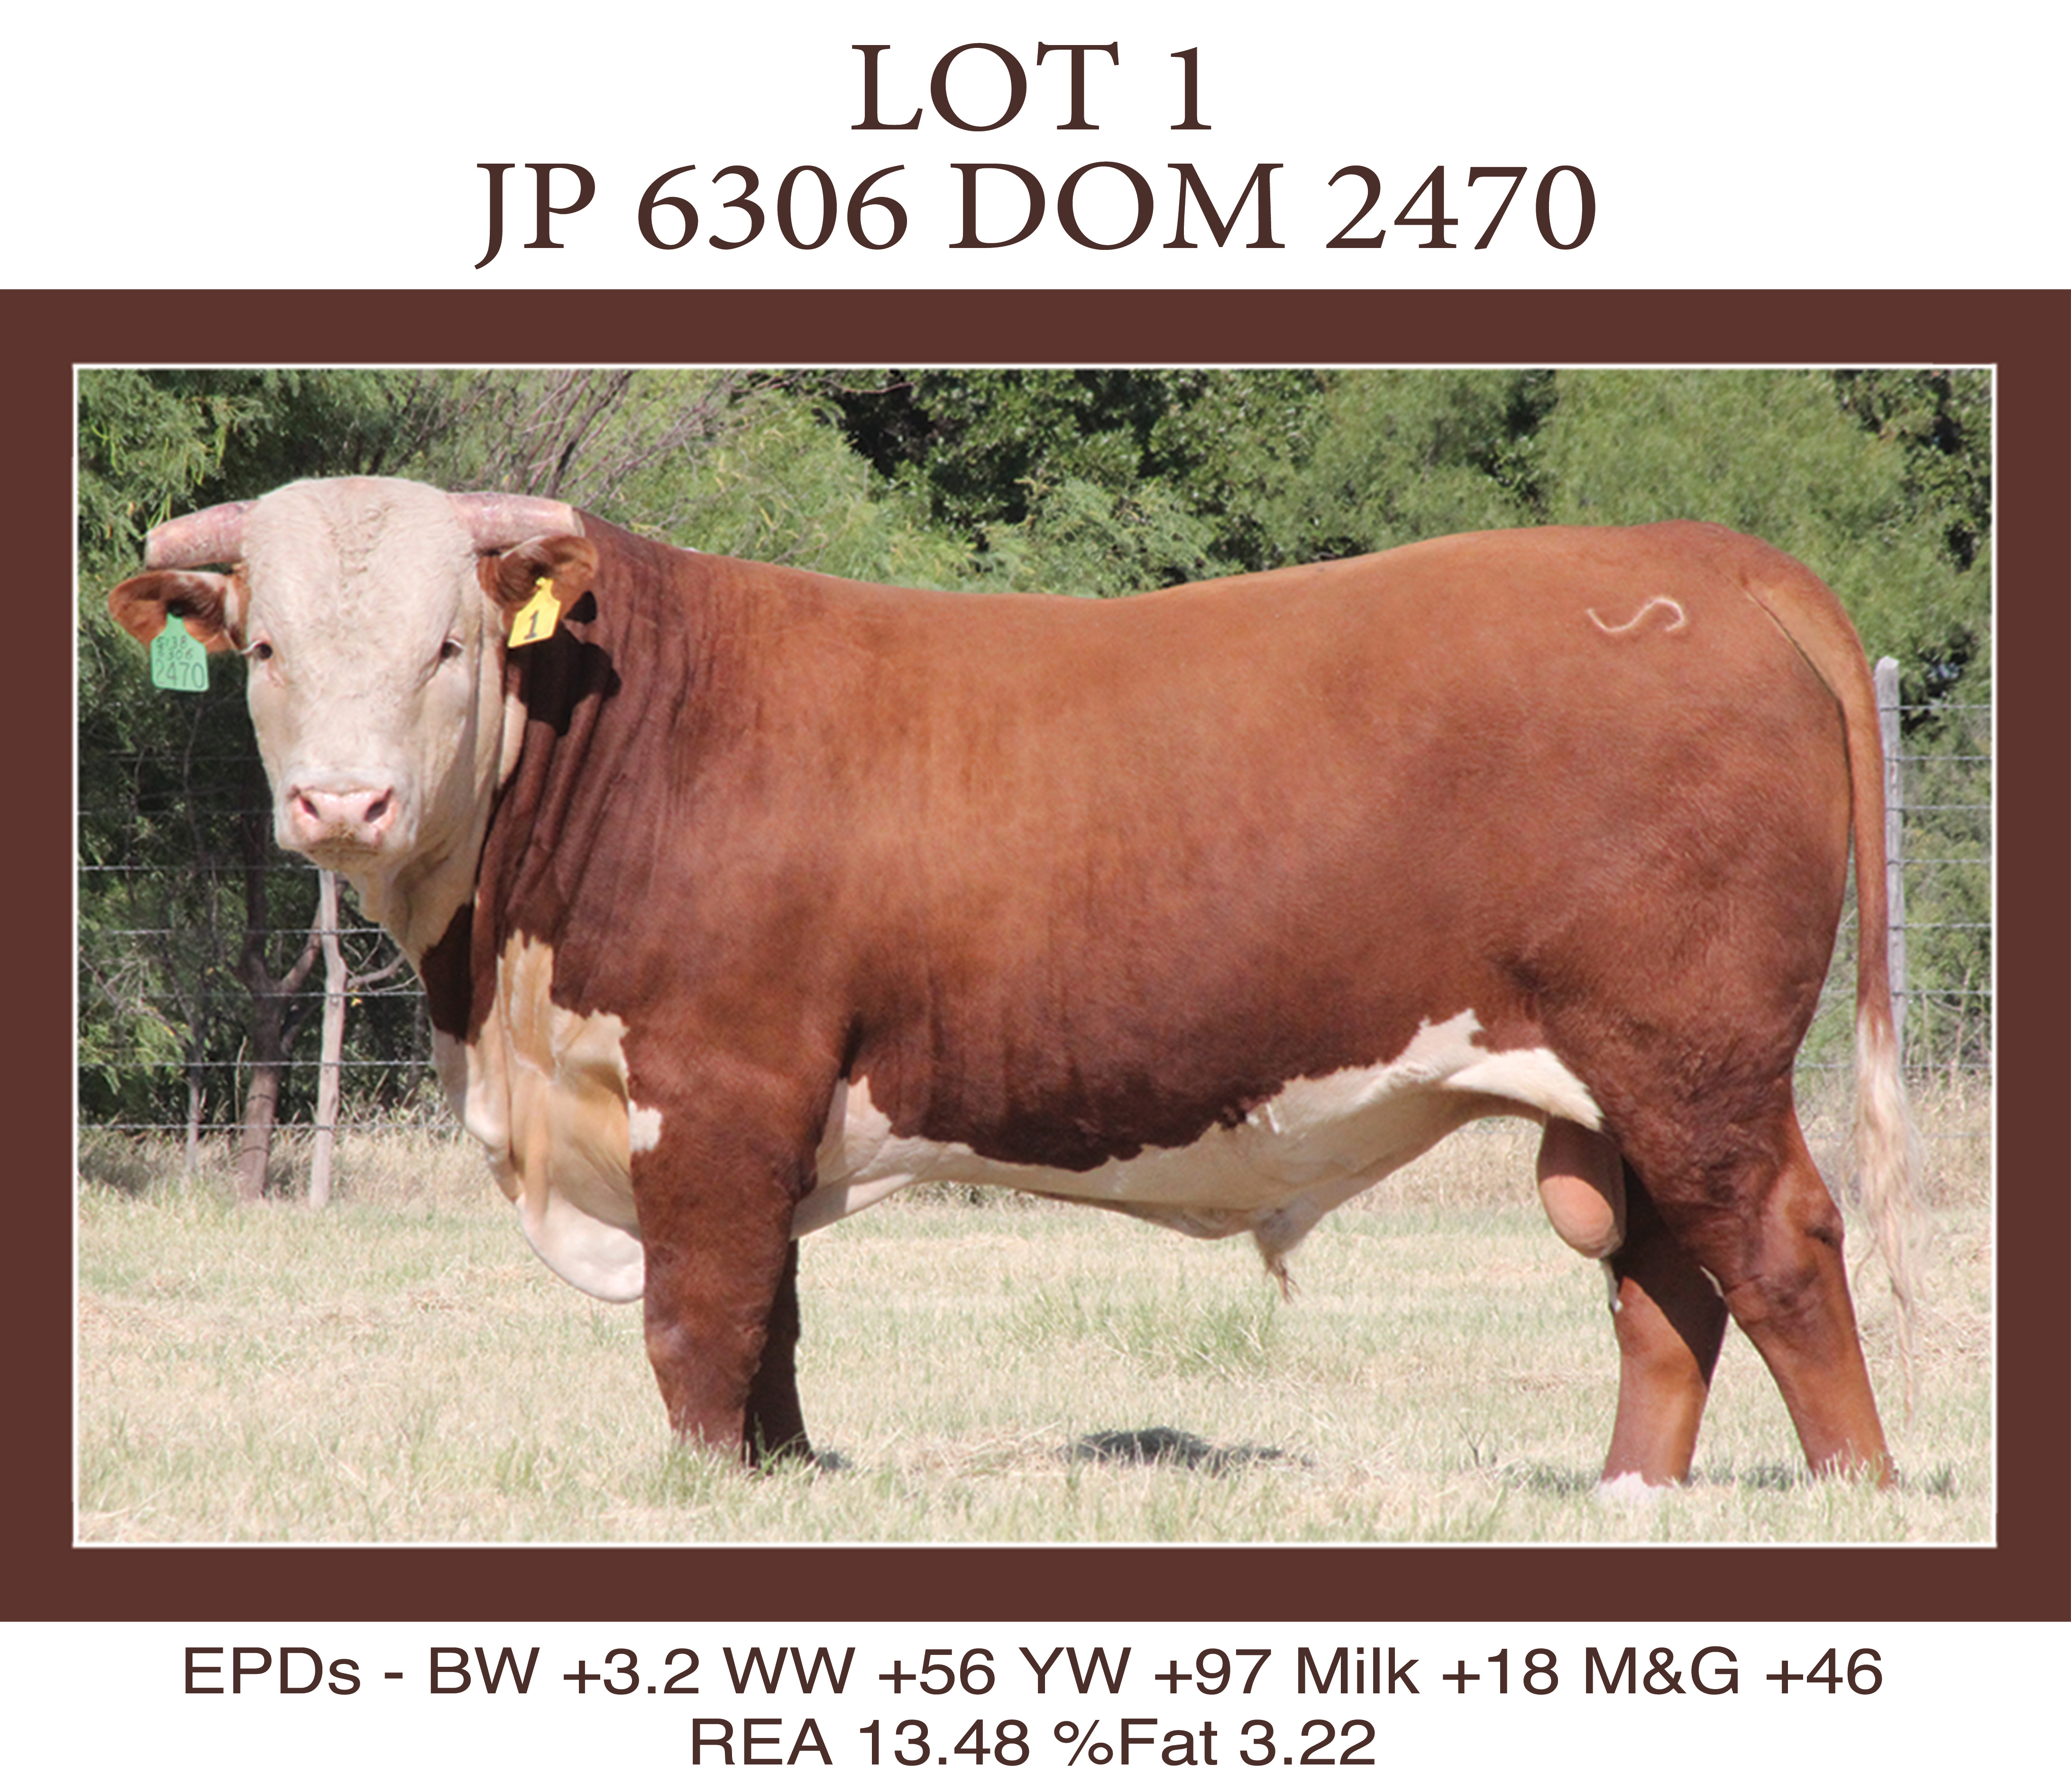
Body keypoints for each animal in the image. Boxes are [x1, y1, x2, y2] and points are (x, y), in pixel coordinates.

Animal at [108, 476, 1919, 1490]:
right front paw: (785, 1478)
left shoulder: (716, 1091)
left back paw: (1852, 1484)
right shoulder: (756, 1112)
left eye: (447, 645)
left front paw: (705, 1482)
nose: (344, 802)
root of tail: (1702, 560)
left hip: (1692, 1054)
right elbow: (772, 1319)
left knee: (1772, 1244)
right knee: (1663, 1275)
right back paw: (1626, 1492)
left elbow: (702, 1317)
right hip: (1624, 1077)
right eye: (265, 647)